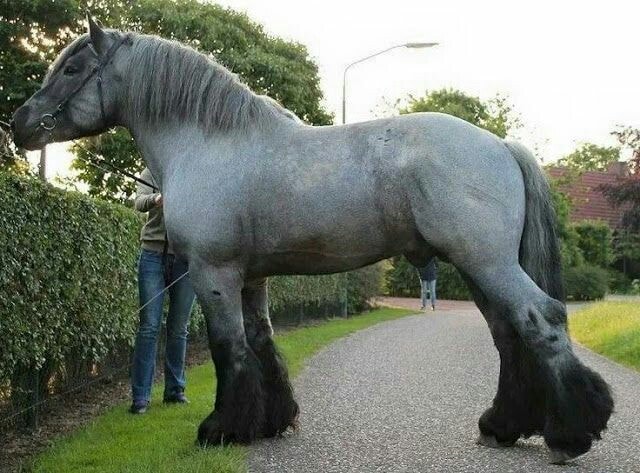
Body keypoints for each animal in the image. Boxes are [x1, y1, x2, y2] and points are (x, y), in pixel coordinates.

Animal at [11, 17, 613, 464]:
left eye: (73, 68)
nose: (20, 124)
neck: (210, 141)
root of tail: (501, 145)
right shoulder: (249, 278)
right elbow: (261, 343)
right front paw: (270, 422)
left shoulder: (213, 274)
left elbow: (229, 349)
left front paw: (220, 428)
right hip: (477, 268)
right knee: (509, 336)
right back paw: (502, 426)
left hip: (486, 263)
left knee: (541, 321)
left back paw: (570, 435)